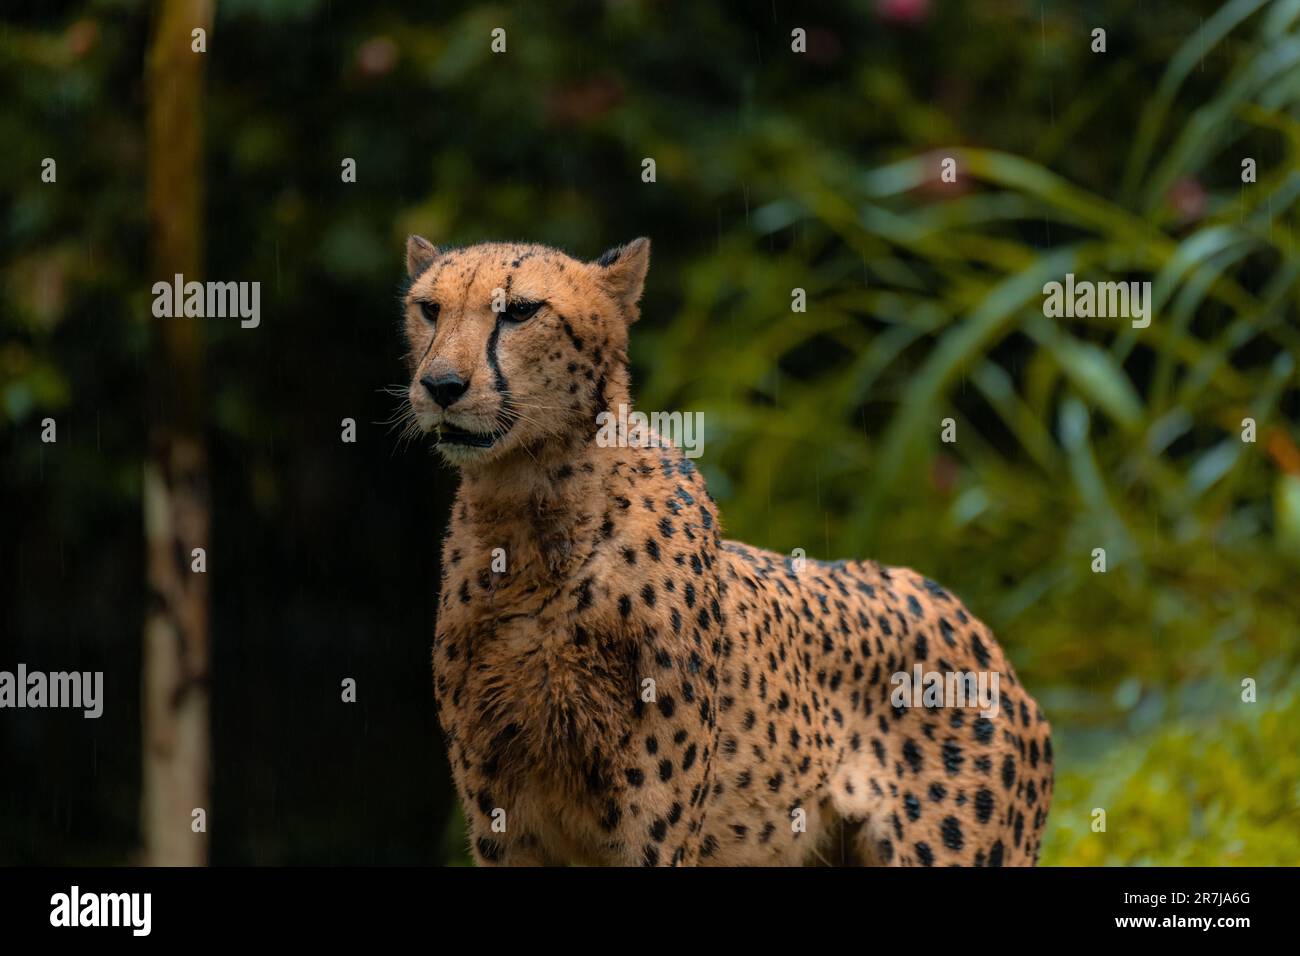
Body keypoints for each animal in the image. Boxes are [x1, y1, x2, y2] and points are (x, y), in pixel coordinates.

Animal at [400, 234, 1053, 866]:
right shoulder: (504, 826)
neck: (533, 521)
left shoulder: (652, 833)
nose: (441, 386)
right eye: (429, 309)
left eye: (519, 310)